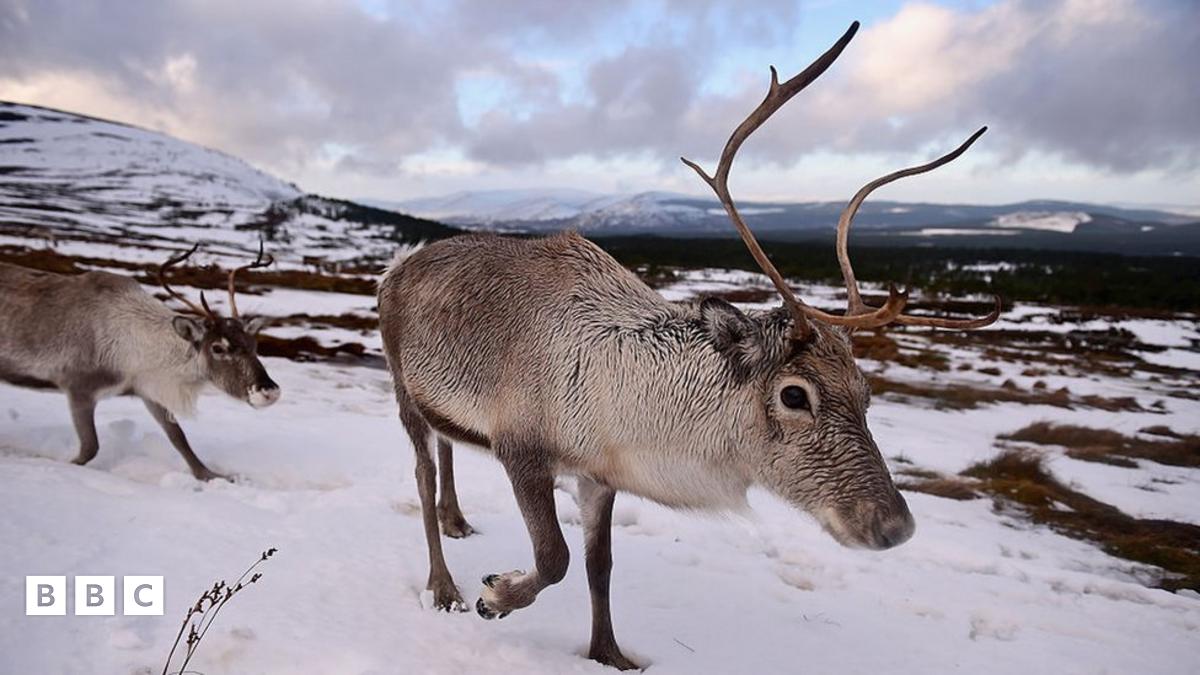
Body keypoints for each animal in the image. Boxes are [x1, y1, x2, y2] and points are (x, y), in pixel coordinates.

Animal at [0, 243, 280, 481]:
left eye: (253, 344)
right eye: (218, 347)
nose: (269, 391)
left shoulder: (148, 390)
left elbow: (179, 438)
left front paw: (211, 475)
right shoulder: (79, 386)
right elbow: (90, 447)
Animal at [378, 21, 1000, 670]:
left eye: (867, 393)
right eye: (794, 395)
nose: (894, 526)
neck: (627, 403)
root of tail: (396, 266)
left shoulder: (601, 476)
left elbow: (600, 566)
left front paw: (609, 653)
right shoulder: (521, 447)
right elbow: (555, 559)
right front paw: (495, 596)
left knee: (446, 446)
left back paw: (456, 519)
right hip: (402, 386)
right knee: (422, 473)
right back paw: (443, 585)